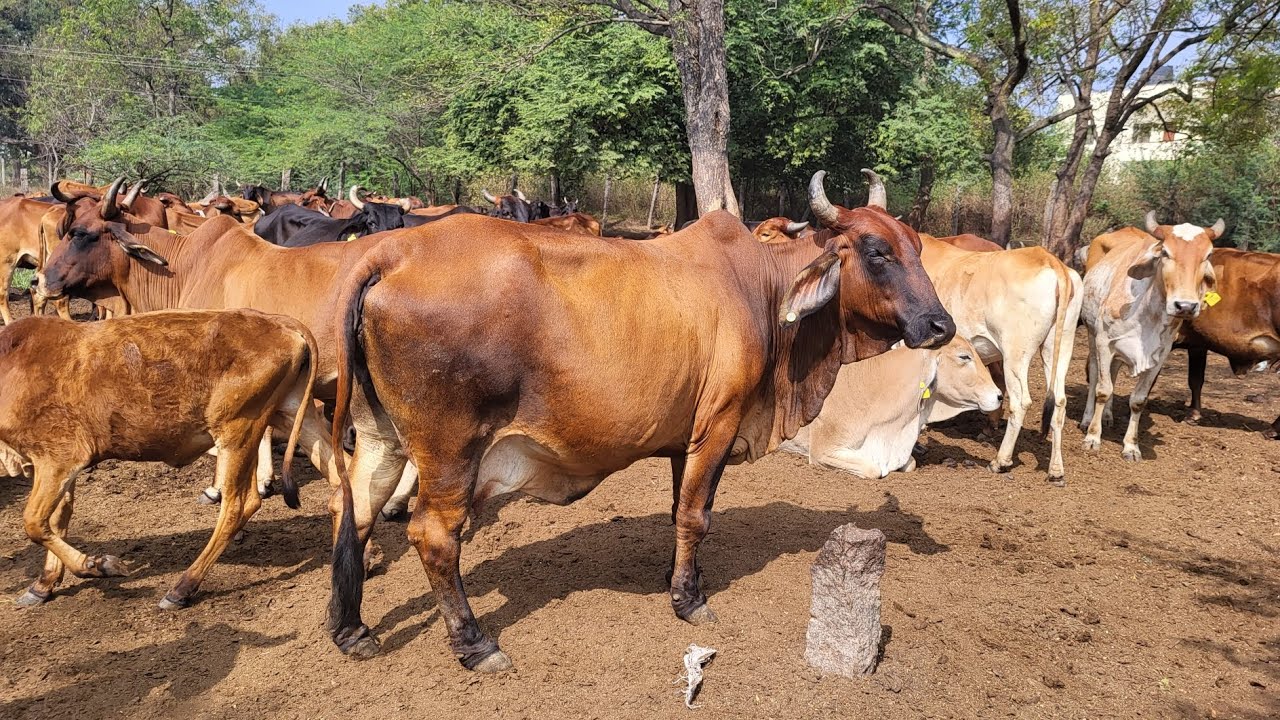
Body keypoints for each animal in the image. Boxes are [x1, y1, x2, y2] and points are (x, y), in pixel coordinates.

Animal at [0, 309, 316, 610]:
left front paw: (97, 565)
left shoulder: (59, 458)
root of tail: (278, 322)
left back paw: (182, 588)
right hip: (288, 415)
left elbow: (34, 522)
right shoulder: (58, 466)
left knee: (239, 504)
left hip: (237, 429)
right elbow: (56, 519)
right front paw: (44, 584)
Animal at [322, 170, 956, 669]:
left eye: (918, 248)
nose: (940, 326)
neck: (763, 290)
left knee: (355, 509)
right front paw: (690, 601)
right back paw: (475, 644)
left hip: (380, 435)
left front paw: (677, 579)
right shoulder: (719, 423)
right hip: (450, 449)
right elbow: (697, 516)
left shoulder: (685, 437)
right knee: (433, 535)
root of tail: (389, 254)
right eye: (876, 251)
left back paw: (350, 628)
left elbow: (680, 512)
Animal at [1079, 212, 1221, 461]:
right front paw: (1093, 438)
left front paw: (1131, 447)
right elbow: (1103, 390)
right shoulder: (1104, 343)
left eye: (1208, 255)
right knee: (1096, 375)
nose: (1185, 306)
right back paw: (1088, 419)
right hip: (1091, 333)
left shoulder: (1159, 356)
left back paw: (1107, 416)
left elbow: (1138, 400)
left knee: (1113, 374)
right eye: (1165, 252)